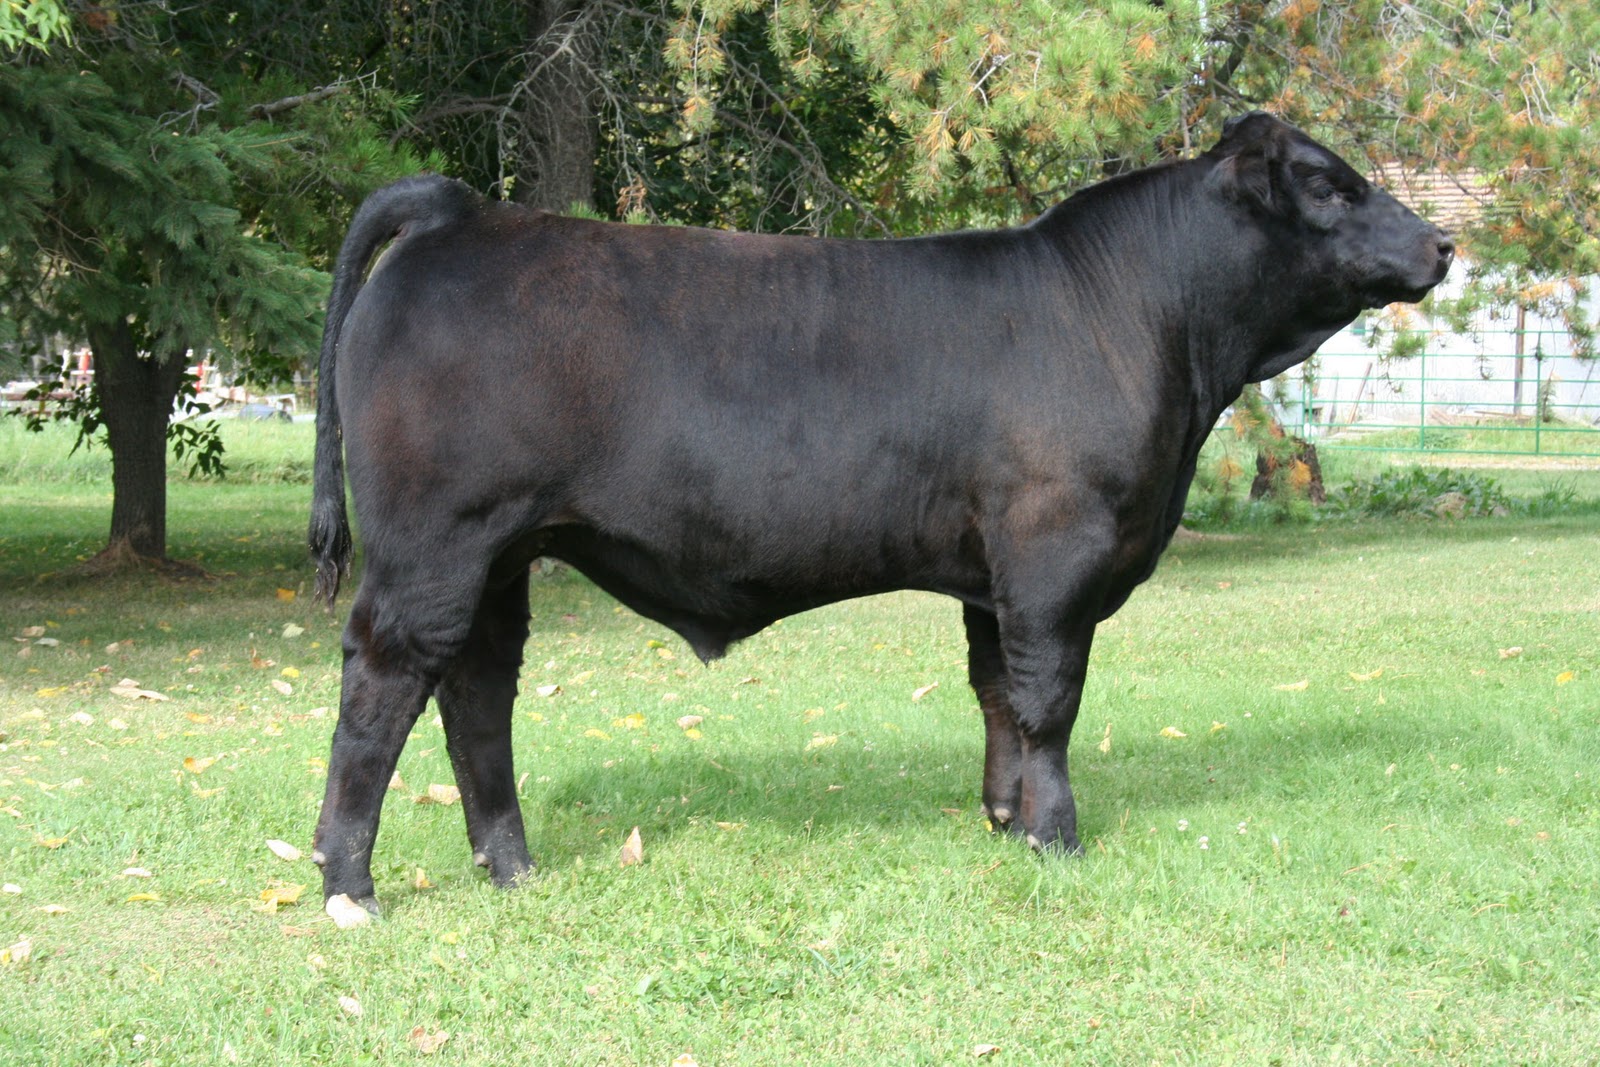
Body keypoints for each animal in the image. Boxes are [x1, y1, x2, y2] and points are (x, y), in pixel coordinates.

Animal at [307, 112, 1452, 921]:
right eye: (1331, 184)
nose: (1442, 242)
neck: (1152, 324)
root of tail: (463, 212)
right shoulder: (1055, 553)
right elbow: (1050, 702)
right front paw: (1059, 838)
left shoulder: (993, 574)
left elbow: (997, 694)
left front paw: (1004, 821)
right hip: (434, 543)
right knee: (385, 682)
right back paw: (348, 884)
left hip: (502, 551)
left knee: (477, 692)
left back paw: (512, 867)